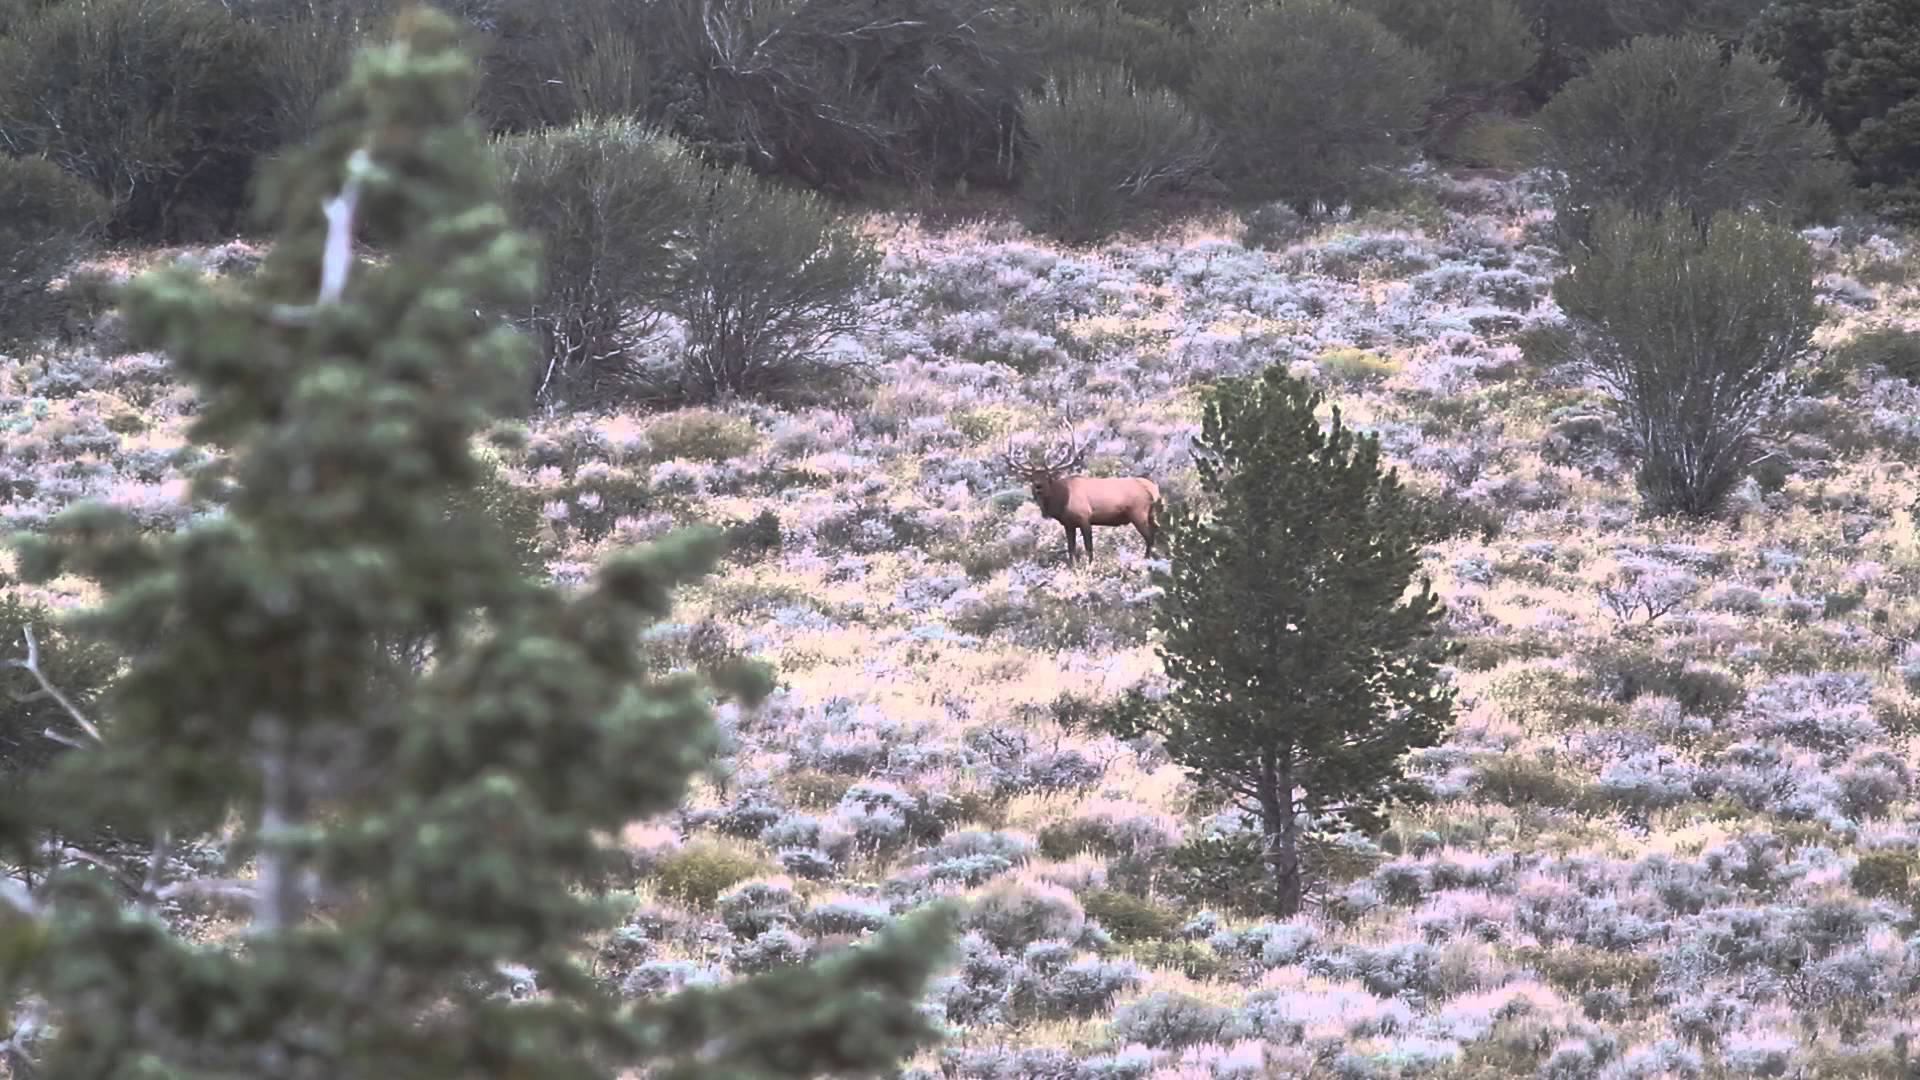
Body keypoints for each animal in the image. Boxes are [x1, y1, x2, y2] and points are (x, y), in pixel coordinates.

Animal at [999, 422, 1162, 566]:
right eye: (1031, 478)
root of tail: (1152, 488)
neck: (1062, 502)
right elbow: (1070, 549)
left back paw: (1147, 560)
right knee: (1156, 530)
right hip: (1151, 514)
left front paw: (1089, 566)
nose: (1038, 486)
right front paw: (1073, 567)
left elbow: (1088, 546)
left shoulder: (1084, 517)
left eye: (1048, 477)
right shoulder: (1068, 524)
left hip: (1138, 512)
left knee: (1149, 536)